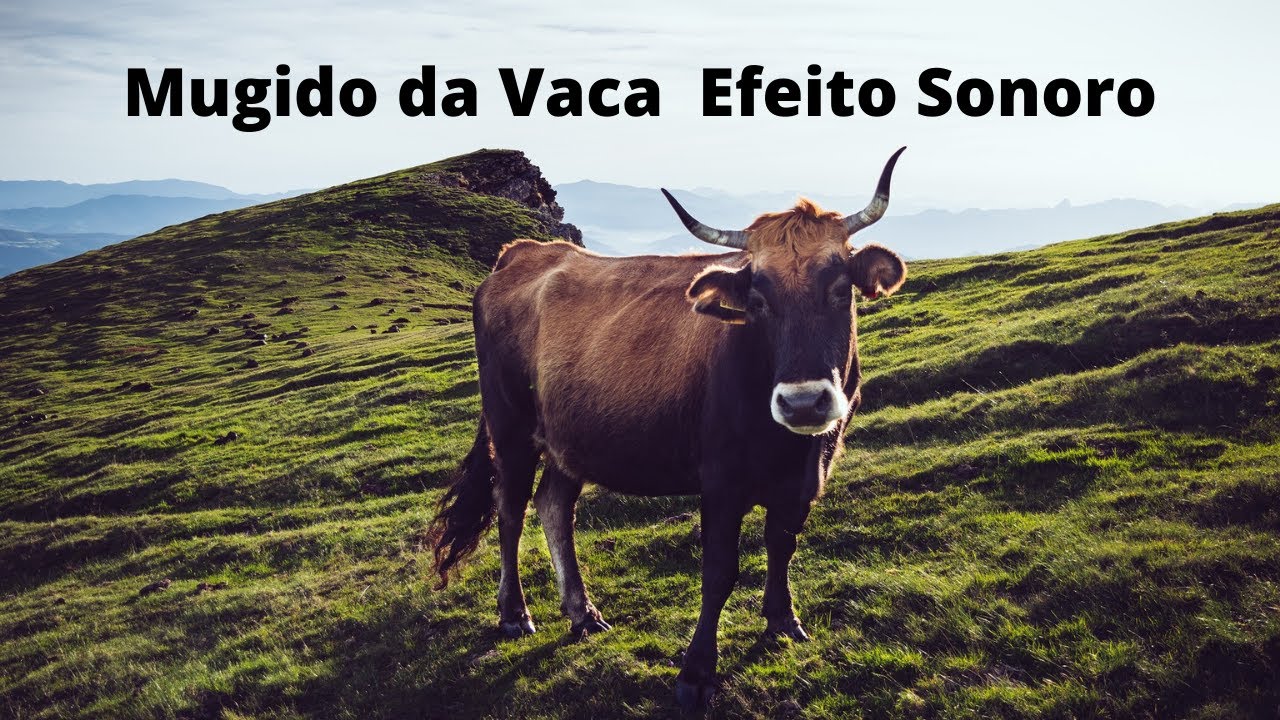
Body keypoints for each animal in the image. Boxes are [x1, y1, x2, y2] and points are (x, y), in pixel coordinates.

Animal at [428, 148, 908, 710]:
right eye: (758, 300)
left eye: (839, 289)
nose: (803, 401)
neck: (786, 448)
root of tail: (523, 254)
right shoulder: (720, 481)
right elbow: (719, 572)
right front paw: (697, 672)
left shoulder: (807, 475)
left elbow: (782, 546)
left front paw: (783, 622)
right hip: (510, 428)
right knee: (510, 510)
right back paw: (513, 614)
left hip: (570, 437)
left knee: (553, 506)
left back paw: (582, 613)